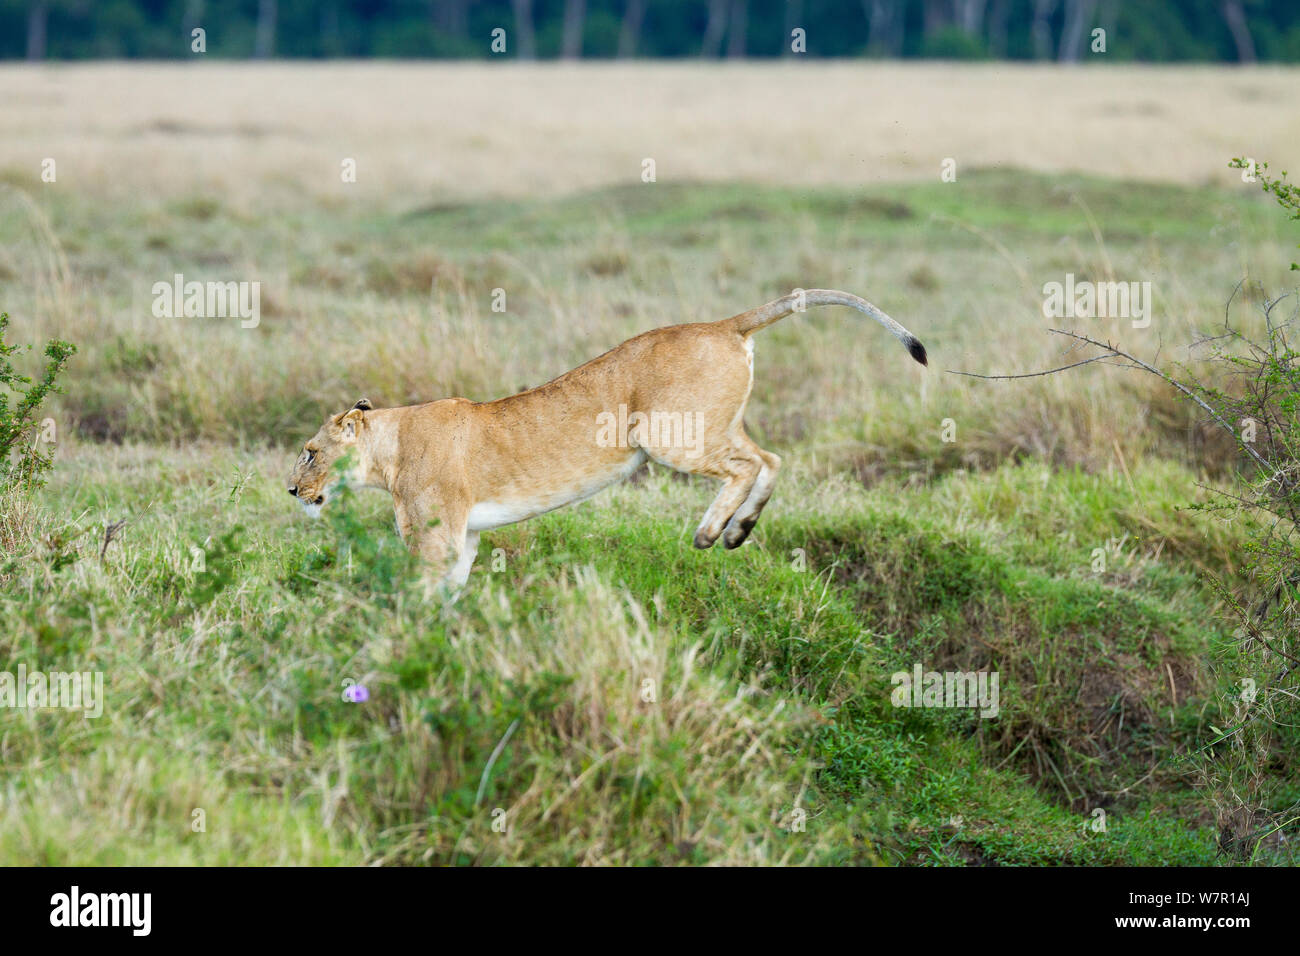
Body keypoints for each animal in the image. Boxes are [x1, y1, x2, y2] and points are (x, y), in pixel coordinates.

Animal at [288, 289, 927, 588]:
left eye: (310, 453)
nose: (293, 492)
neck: (388, 448)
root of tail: (722, 324)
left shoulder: (434, 535)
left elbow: (417, 588)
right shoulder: (463, 537)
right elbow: (450, 590)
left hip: (668, 435)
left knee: (752, 463)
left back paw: (709, 532)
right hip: (714, 425)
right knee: (769, 457)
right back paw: (737, 531)